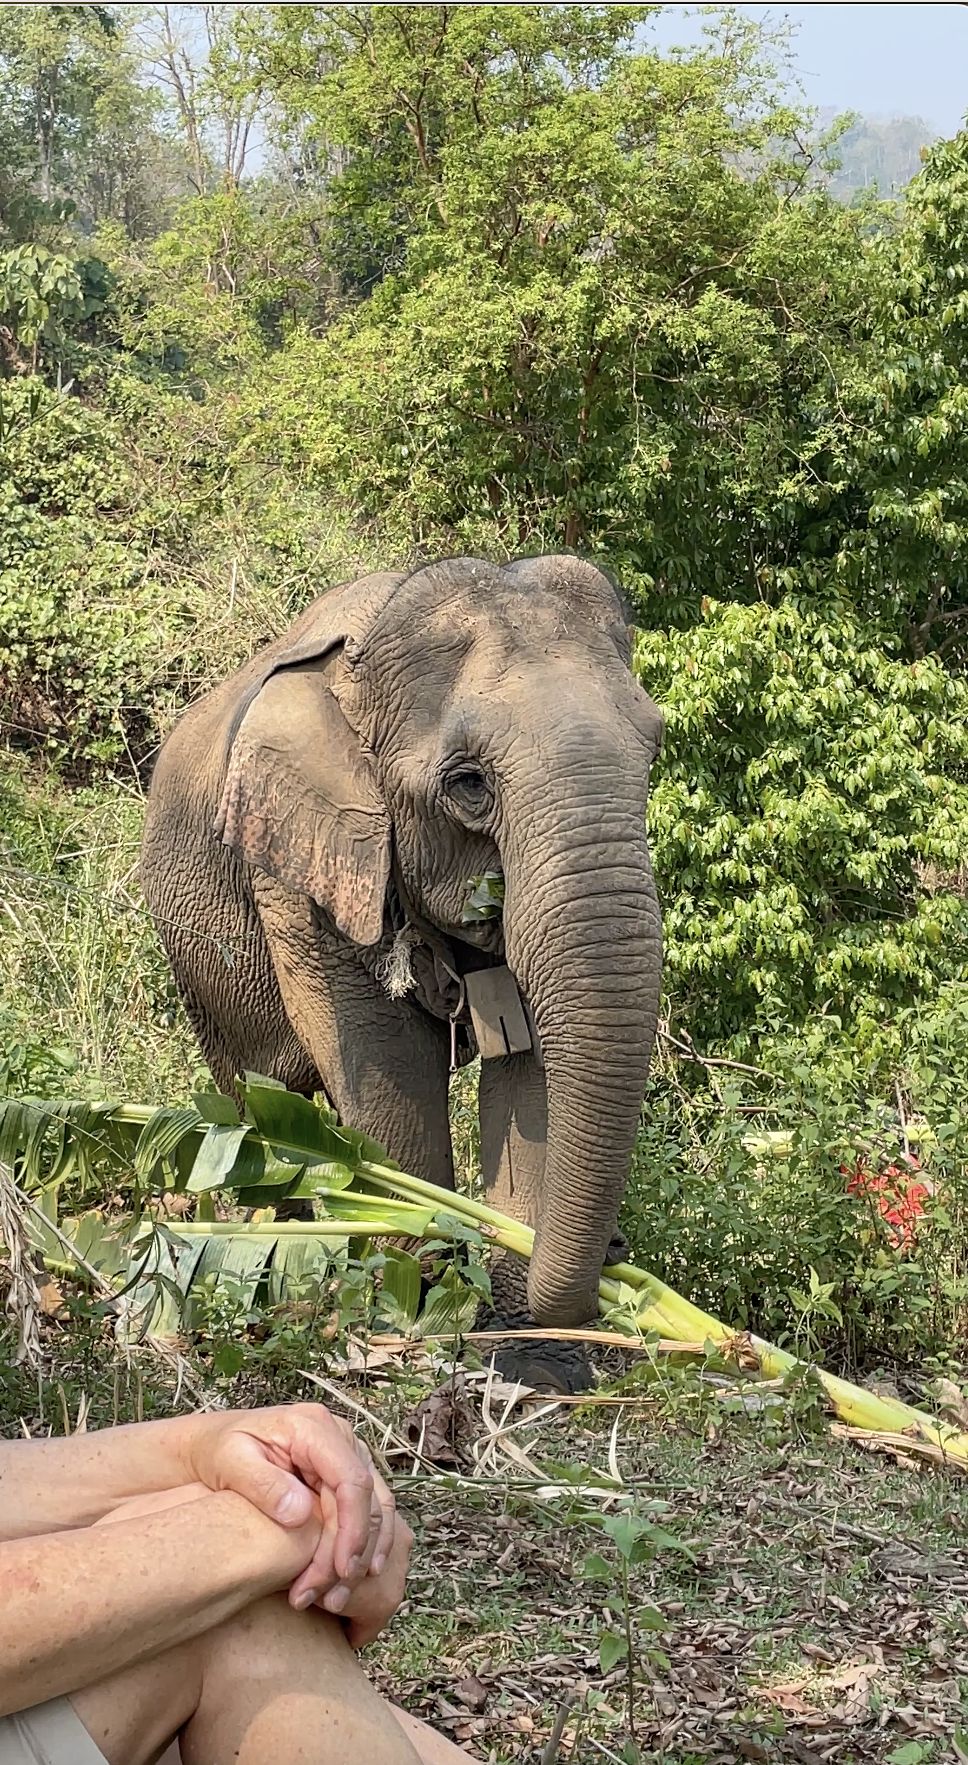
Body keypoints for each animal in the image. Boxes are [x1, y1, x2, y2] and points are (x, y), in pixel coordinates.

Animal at [141, 555, 664, 1383]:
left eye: (654, 749)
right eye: (469, 782)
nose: (617, 1256)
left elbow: (531, 1073)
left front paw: (532, 1360)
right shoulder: (296, 865)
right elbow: (385, 1060)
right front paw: (417, 1323)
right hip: (196, 966)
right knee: (254, 1107)